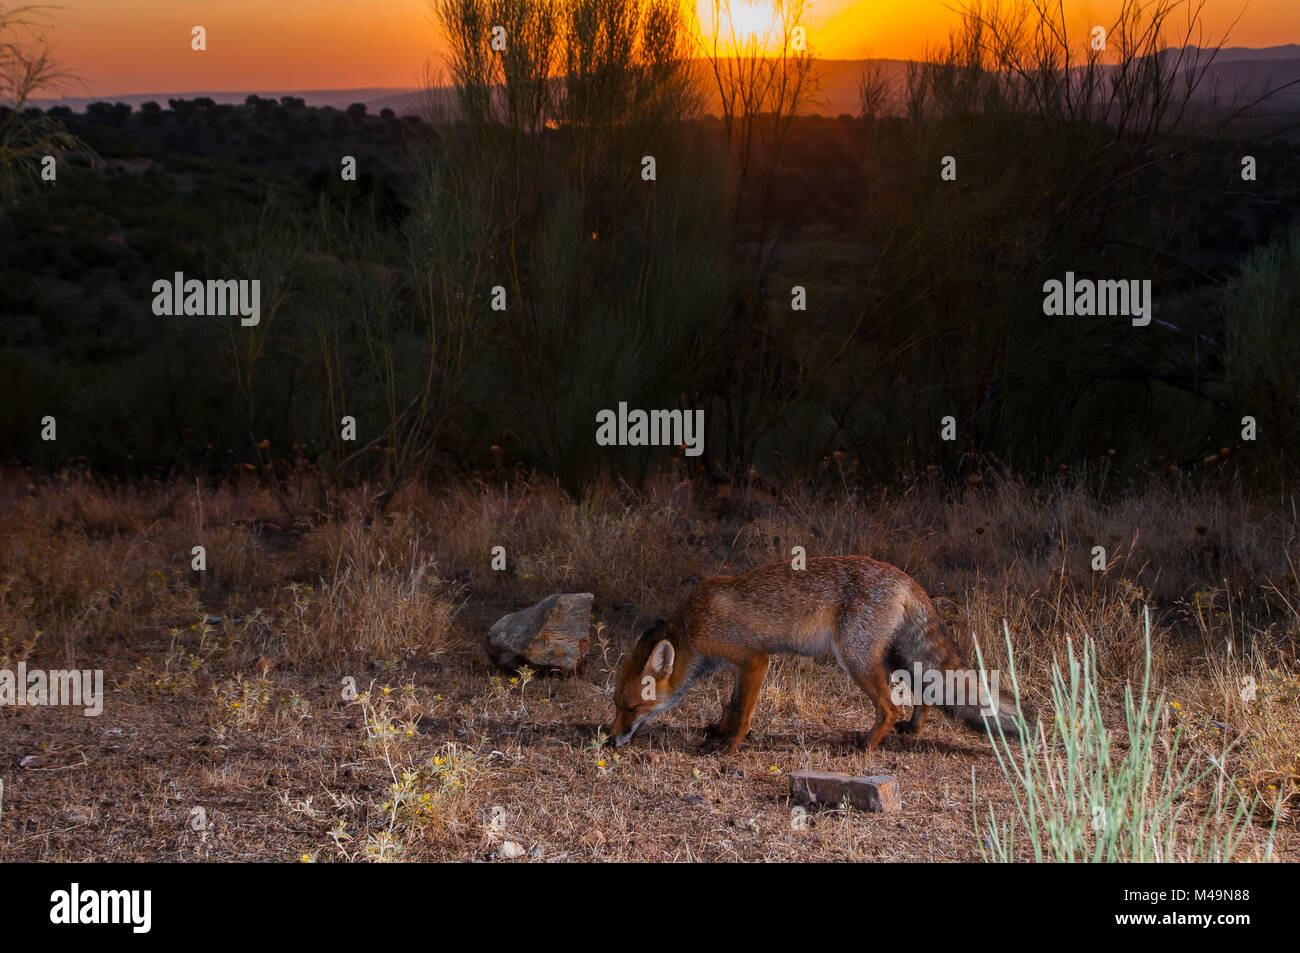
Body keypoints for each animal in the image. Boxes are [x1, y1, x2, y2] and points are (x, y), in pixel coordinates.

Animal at [608, 555, 1023, 754]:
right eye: (616, 705)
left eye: (631, 707)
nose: (610, 741)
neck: (690, 625)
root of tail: (906, 577)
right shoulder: (741, 665)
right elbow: (731, 704)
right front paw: (719, 731)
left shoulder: (756, 659)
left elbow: (743, 712)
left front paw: (729, 748)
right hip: (890, 655)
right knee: (926, 690)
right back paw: (914, 728)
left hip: (855, 658)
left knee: (890, 707)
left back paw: (865, 748)